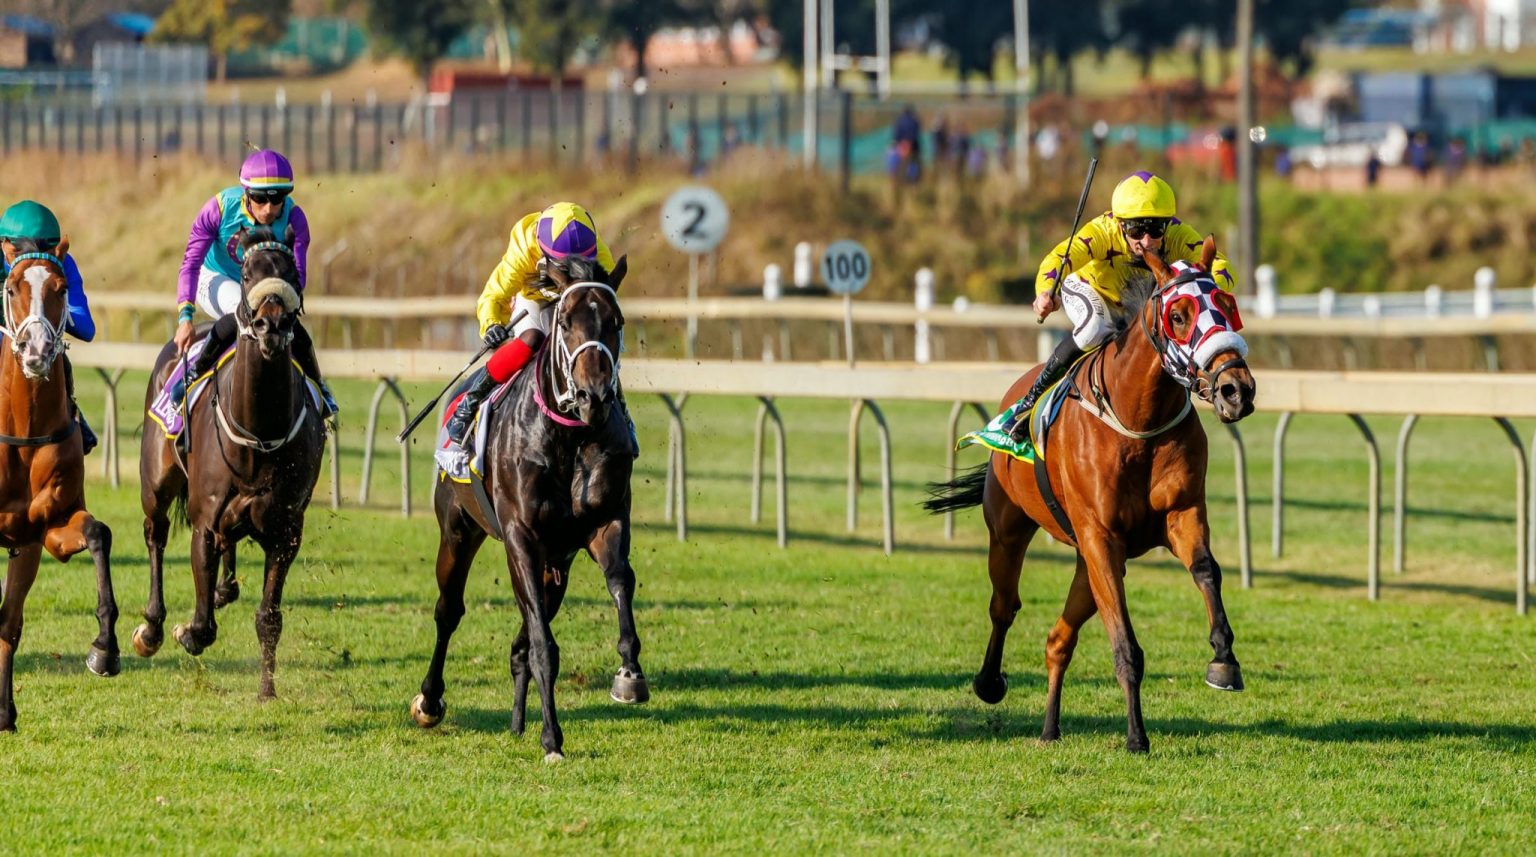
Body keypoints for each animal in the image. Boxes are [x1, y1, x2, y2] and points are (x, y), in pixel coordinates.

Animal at [135, 225, 326, 700]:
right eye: (246, 273)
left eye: (292, 273)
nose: (271, 325)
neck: (259, 436)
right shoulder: (204, 521)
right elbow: (202, 625)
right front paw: (184, 631)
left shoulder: (286, 532)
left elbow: (269, 617)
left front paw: (267, 691)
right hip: (156, 482)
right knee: (155, 535)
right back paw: (151, 628)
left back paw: (224, 588)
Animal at [409, 254, 645, 762]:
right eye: (566, 322)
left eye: (616, 322)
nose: (595, 396)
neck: (568, 439)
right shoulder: (521, 536)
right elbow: (542, 646)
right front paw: (553, 738)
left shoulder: (604, 523)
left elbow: (620, 581)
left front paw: (629, 673)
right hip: (459, 531)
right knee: (449, 611)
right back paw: (430, 701)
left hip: (556, 565)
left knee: (521, 636)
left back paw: (518, 722)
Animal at [925, 238, 1256, 753]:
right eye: (1178, 315)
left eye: (1229, 305)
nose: (1235, 389)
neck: (1137, 419)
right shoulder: (1101, 537)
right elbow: (1126, 645)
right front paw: (1137, 736)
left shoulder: (1179, 515)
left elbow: (1207, 570)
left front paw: (1224, 660)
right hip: (1010, 532)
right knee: (1004, 605)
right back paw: (989, 682)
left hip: (1088, 563)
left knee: (1057, 640)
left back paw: (1049, 728)